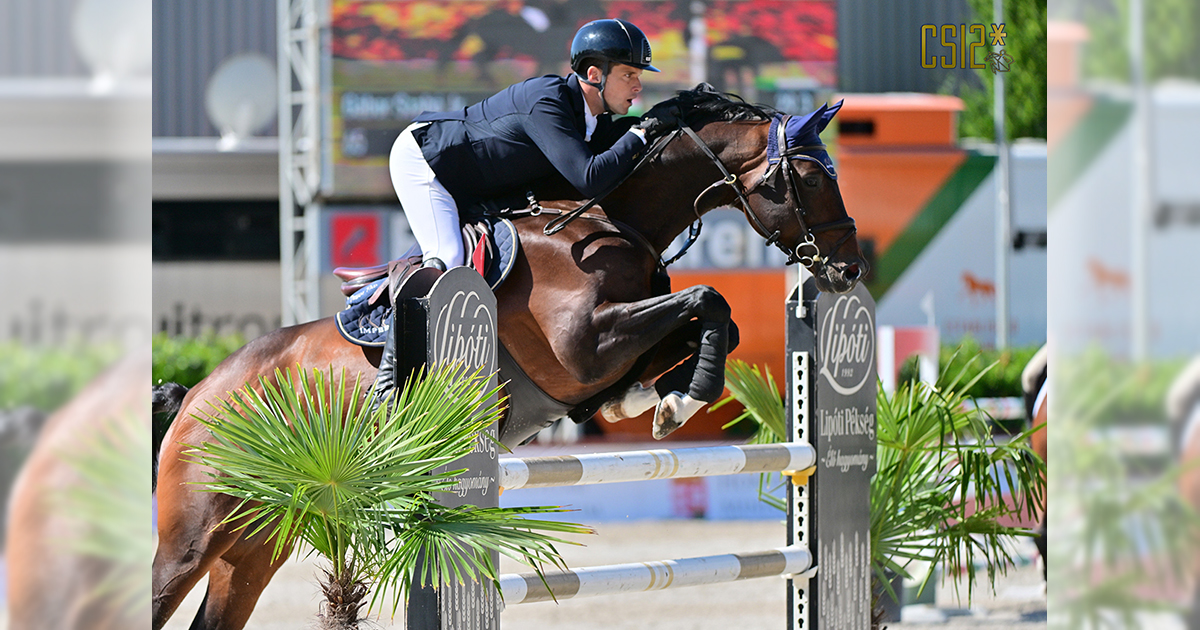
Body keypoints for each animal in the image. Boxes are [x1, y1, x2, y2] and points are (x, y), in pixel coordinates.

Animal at [152, 84, 868, 630]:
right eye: (810, 178)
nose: (849, 270)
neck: (607, 222)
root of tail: (196, 393)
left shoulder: (612, 344)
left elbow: (706, 323)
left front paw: (653, 399)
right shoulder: (583, 346)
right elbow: (708, 299)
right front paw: (676, 402)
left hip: (259, 540)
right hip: (192, 536)